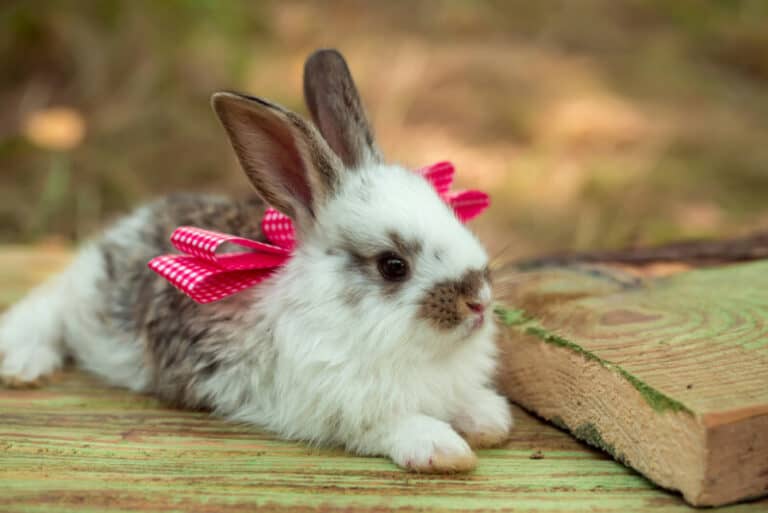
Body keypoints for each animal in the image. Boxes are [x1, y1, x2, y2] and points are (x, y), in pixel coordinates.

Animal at [0, 49, 512, 472]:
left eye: (456, 217)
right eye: (393, 266)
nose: (479, 302)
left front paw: (489, 420)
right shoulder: (335, 407)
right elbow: (389, 425)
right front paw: (443, 450)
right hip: (85, 298)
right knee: (48, 307)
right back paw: (23, 364)